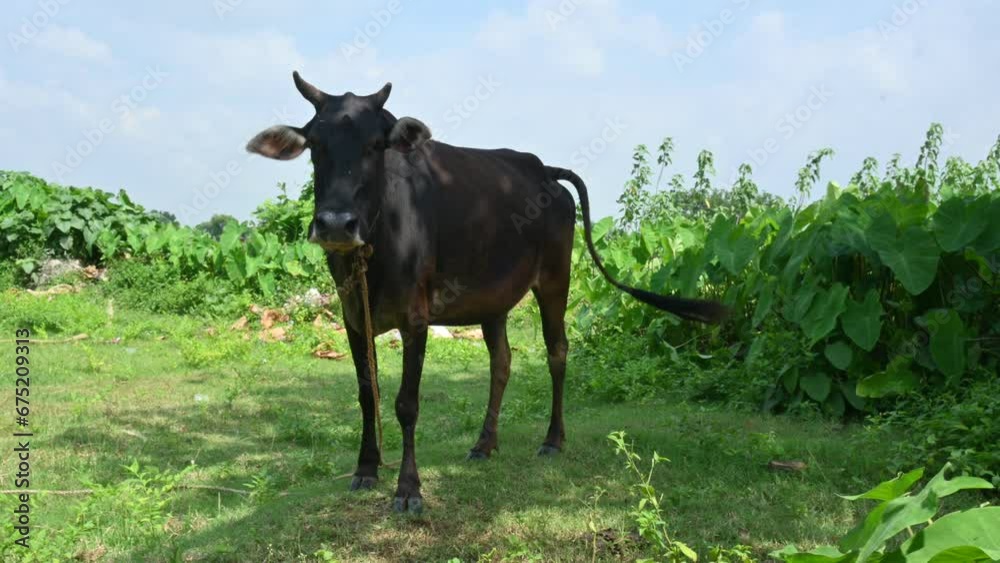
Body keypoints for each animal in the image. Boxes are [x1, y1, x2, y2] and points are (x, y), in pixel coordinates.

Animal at [246, 72, 726, 514]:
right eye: (315, 144)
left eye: (376, 145)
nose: (335, 224)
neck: (374, 248)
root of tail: (544, 171)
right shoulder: (352, 317)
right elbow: (369, 394)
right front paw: (365, 469)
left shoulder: (416, 317)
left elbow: (406, 403)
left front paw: (408, 489)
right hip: (494, 300)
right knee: (502, 362)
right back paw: (484, 443)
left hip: (555, 279)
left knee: (557, 351)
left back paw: (553, 439)